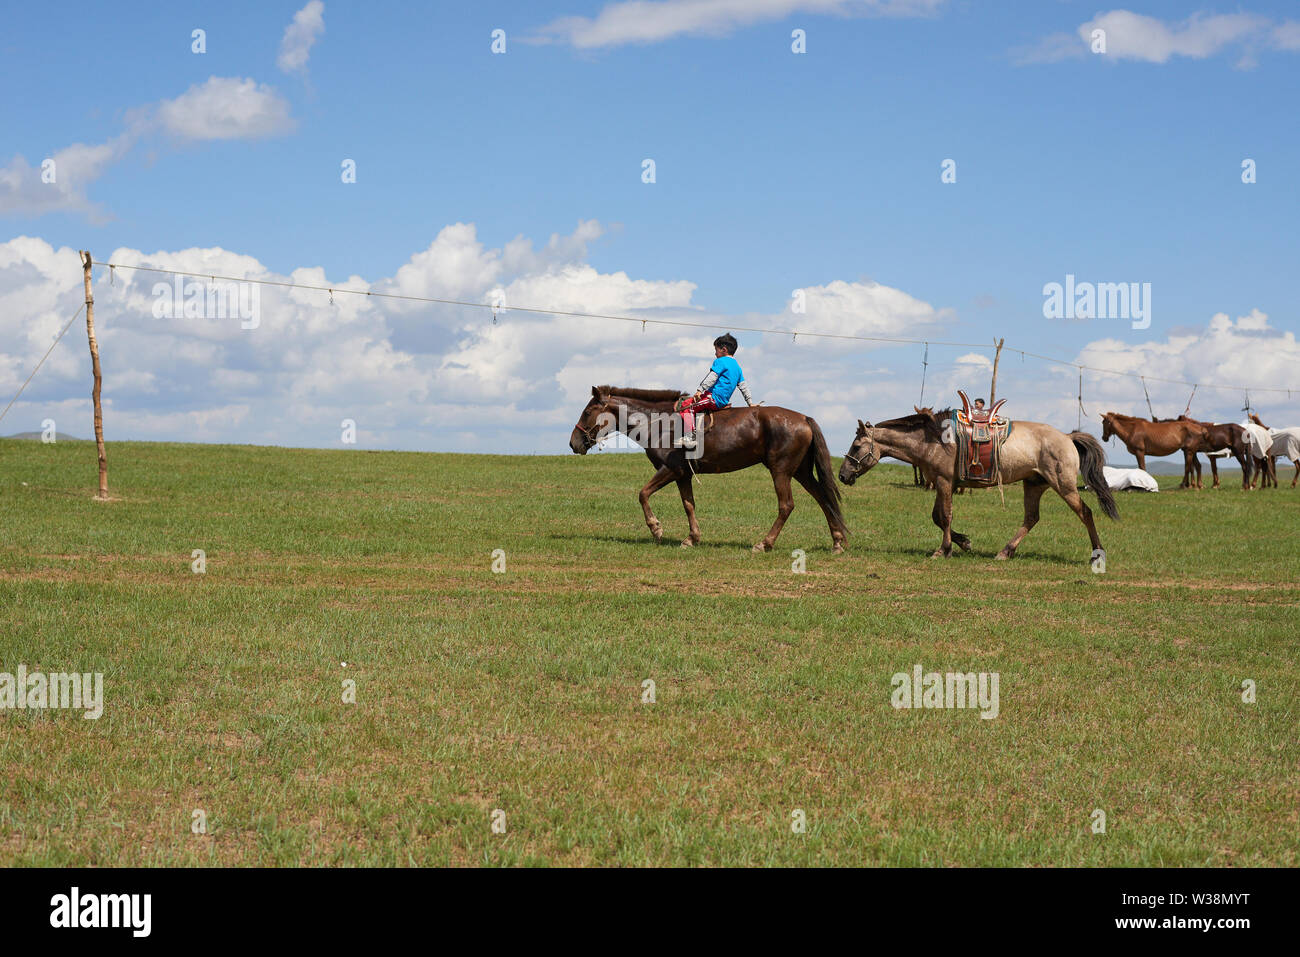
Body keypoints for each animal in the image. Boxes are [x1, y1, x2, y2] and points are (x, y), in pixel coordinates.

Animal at [569, 386, 849, 553]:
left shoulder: (669, 469)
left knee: (787, 505)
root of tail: (803, 418)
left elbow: (643, 494)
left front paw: (656, 528)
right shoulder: (683, 475)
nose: (573, 443)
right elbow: (688, 505)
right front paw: (692, 538)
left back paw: (764, 543)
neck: (659, 423)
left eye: (588, 411)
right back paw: (837, 541)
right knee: (823, 498)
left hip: (780, 471)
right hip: (800, 471)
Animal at [837, 409, 1119, 564]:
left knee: (1085, 513)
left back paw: (1097, 554)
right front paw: (963, 542)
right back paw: (1005, 551)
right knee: (1031, 518)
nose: (842, 475)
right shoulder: (944, 483)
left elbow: (944, 516)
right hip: (1034, 484)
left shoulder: (944, 481)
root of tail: (1067, 437)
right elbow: (938, 517)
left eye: (857, 446)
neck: (932, 440)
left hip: (1063, 485)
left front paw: (944, 550)